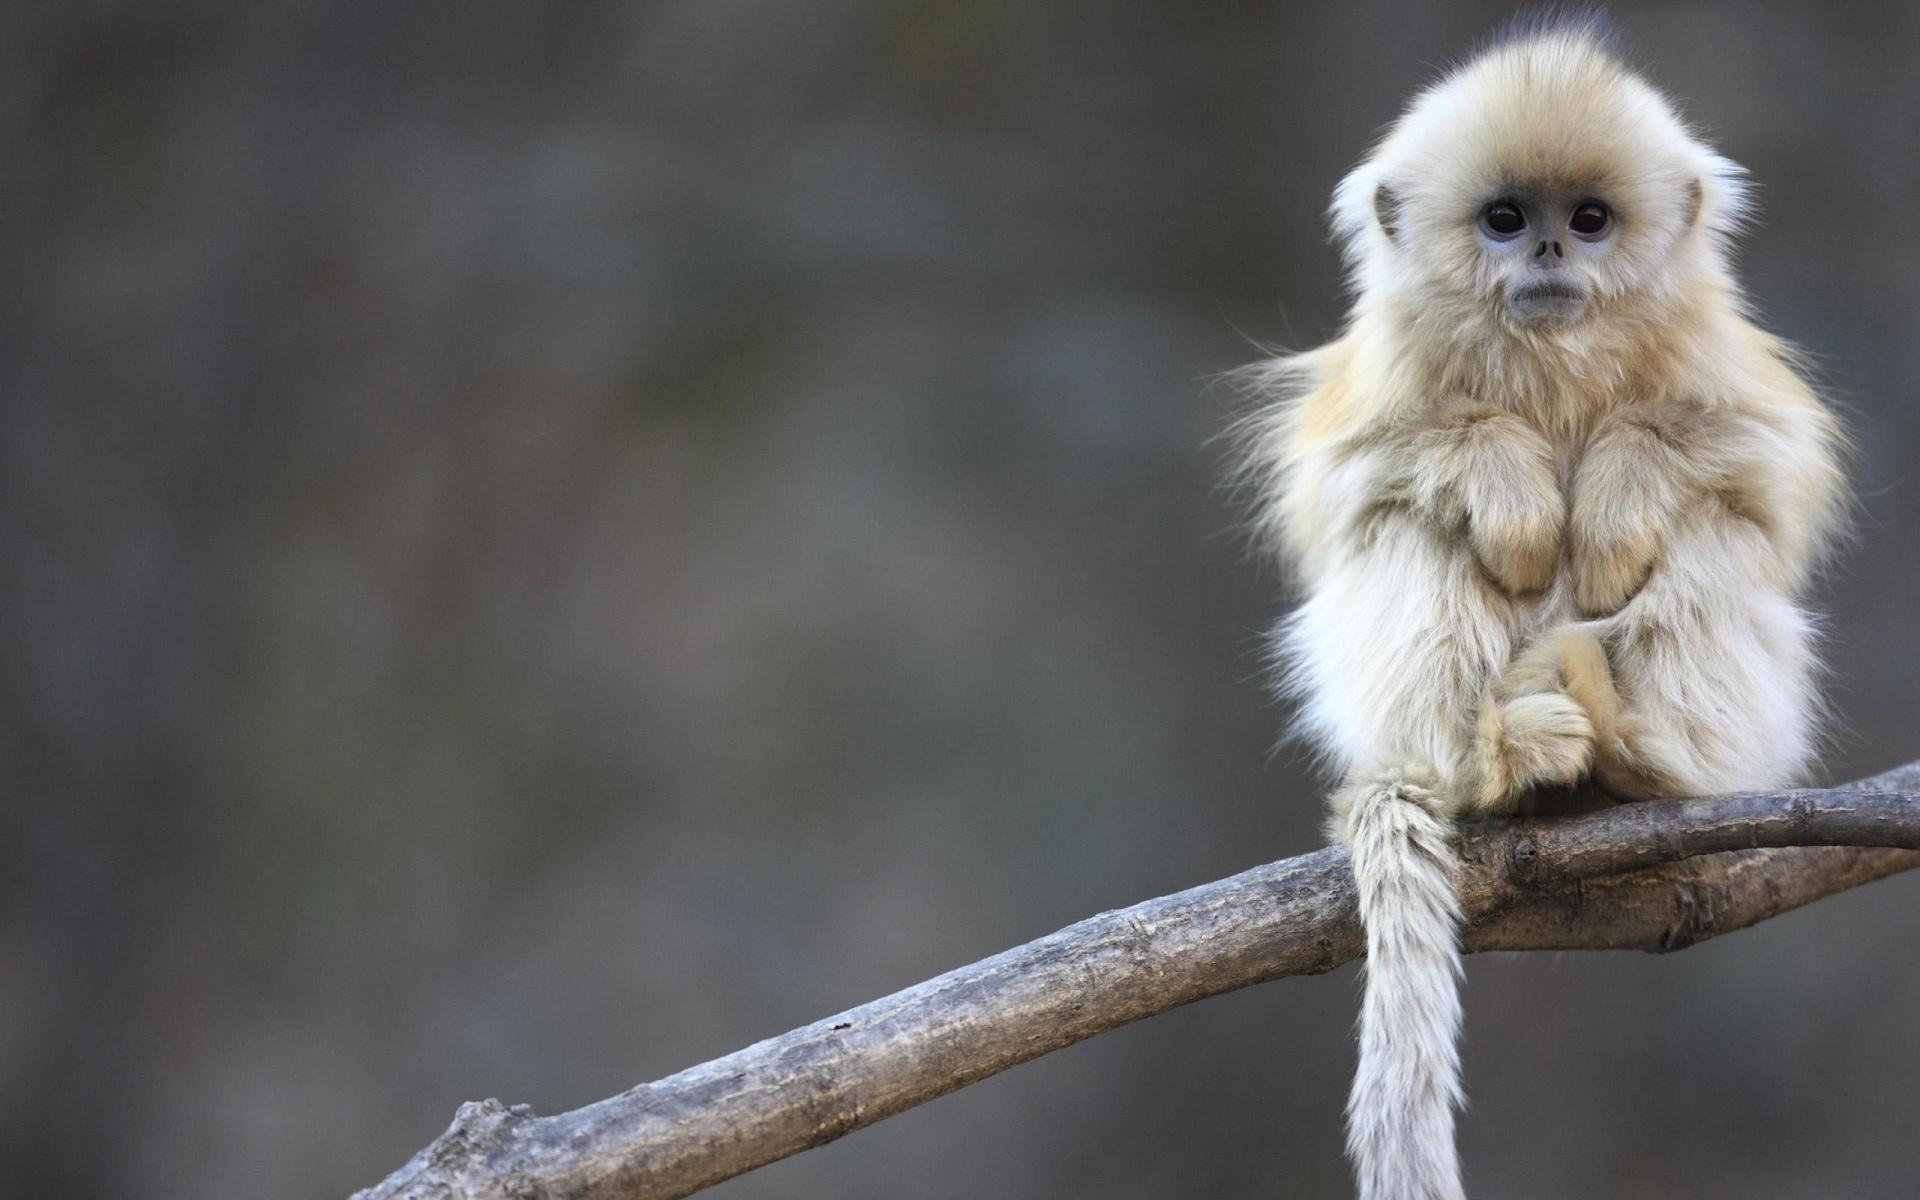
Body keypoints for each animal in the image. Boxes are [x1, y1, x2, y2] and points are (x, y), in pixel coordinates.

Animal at [1235, 16, 1847, 1200]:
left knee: (1713, 533)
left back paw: (1636, 754)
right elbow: (1353, 483)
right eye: (1507, 219)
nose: (1553, 254)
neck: (1554, 360)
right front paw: (1513, 489)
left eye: (1591, 220)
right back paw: (1497, 761)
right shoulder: (1381, 382)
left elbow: (1760, 469)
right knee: (1409, 528)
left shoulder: (1721, 362)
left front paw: (1611, 499)